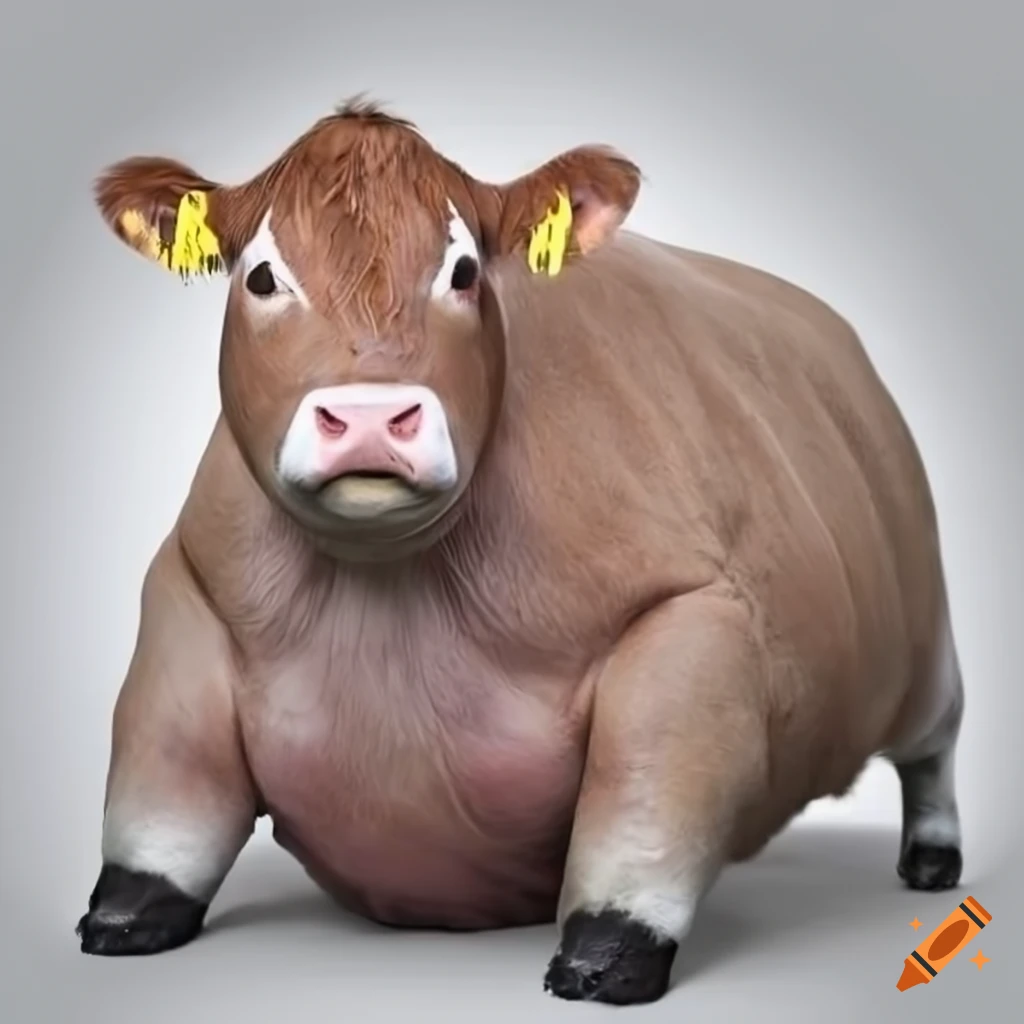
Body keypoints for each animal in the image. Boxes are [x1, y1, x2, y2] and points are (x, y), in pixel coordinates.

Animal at [75, 95, 966, 1006]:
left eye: (465, 271)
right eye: (260, 277)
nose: (369, 419)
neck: (388, 598)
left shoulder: (697, 617)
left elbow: (645, 789)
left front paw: (604, 960)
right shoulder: (184, 596)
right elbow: (160, 789)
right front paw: (122, 920)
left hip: (925, 636)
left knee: (933, 743)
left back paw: (933, 858)